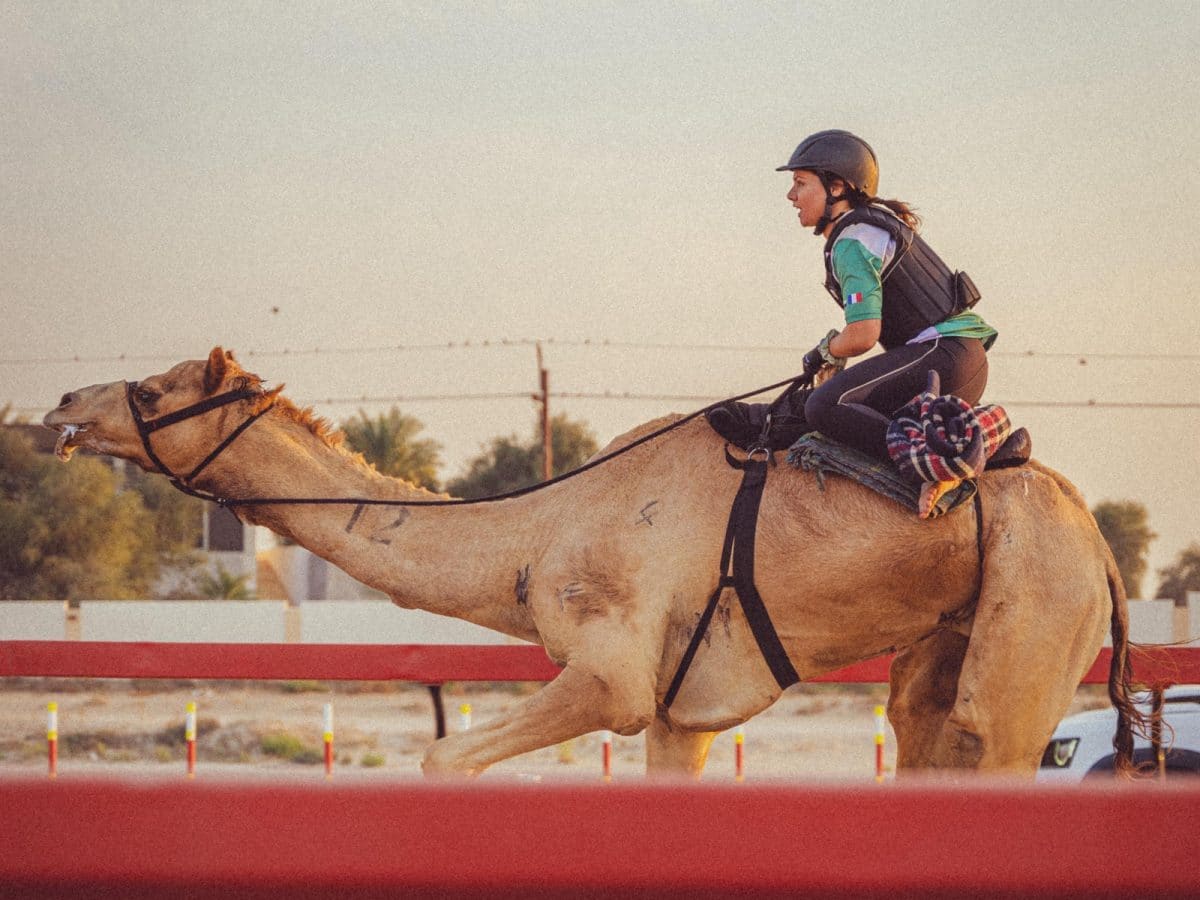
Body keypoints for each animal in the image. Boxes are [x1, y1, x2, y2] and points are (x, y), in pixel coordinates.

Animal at [43, 347, 1143, 779]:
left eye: (154, 389)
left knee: (998, 735)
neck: (534, 538)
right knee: (925, 731)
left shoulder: (611, 675)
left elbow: (440, 755)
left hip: (1037, 613)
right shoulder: (678, 711)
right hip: (950, 642)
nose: (60, 406)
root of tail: (1102, 551)